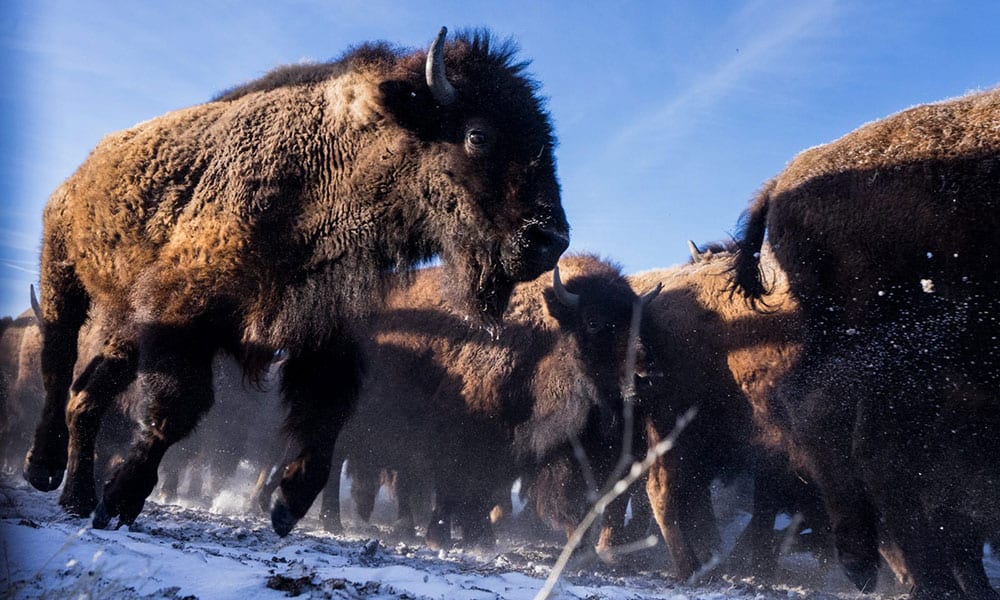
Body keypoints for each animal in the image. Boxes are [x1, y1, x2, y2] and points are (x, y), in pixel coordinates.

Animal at [25, 28, 569, 536]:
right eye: (479, 135)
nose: (551, 239)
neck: (324, 168)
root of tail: (81, 172)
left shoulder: (317, 323)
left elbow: (328, 413)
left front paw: (288, 504)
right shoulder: (182, 309)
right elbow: (177, 408)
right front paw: (119, 501)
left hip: (123, 326)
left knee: (87, 395)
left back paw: (75, 496)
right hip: (62, 273)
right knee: (59, 362)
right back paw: (43, 470)